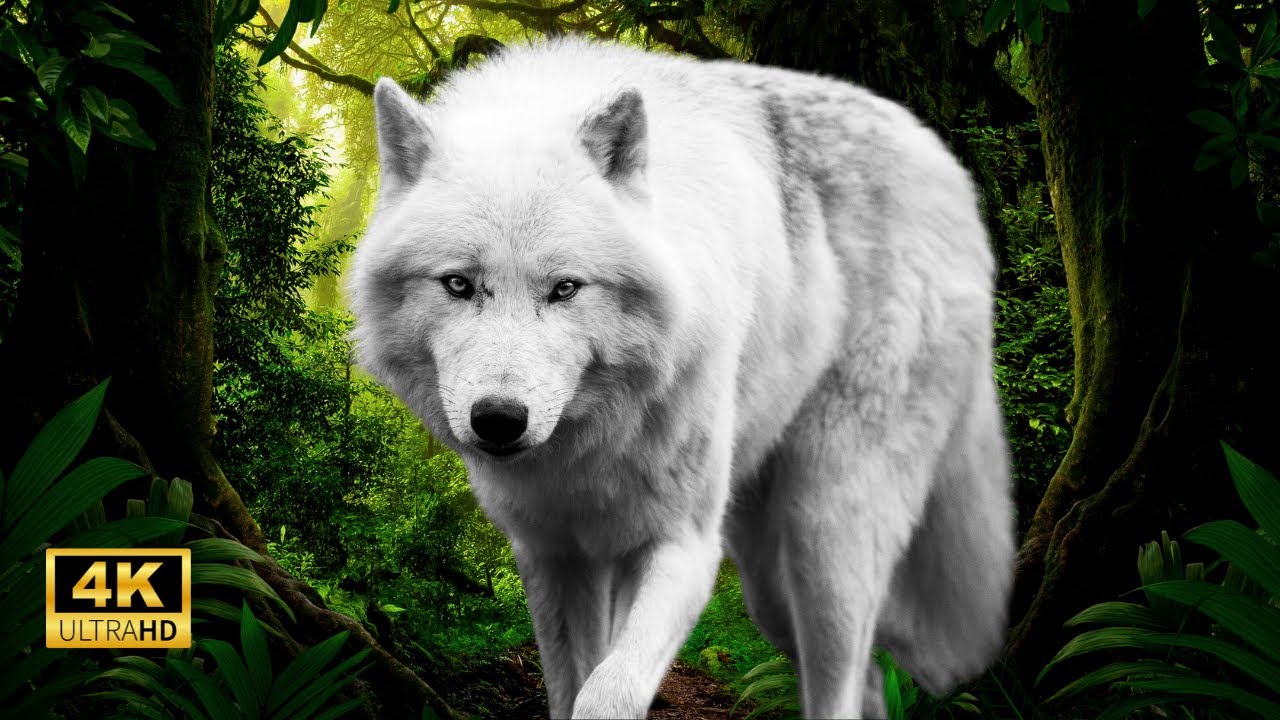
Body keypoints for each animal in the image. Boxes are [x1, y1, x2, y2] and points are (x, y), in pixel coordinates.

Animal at [348, 38, 1014, 720]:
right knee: (871, 681)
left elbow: (607, 693)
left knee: (843, 678)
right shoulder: (555, 557)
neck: (591, 443)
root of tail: (943, 161)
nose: (500, 421)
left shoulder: (683, 547)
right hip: (770, 590)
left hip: (825, 538)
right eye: (458, 284)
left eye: (565, 288)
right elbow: (571, 687)